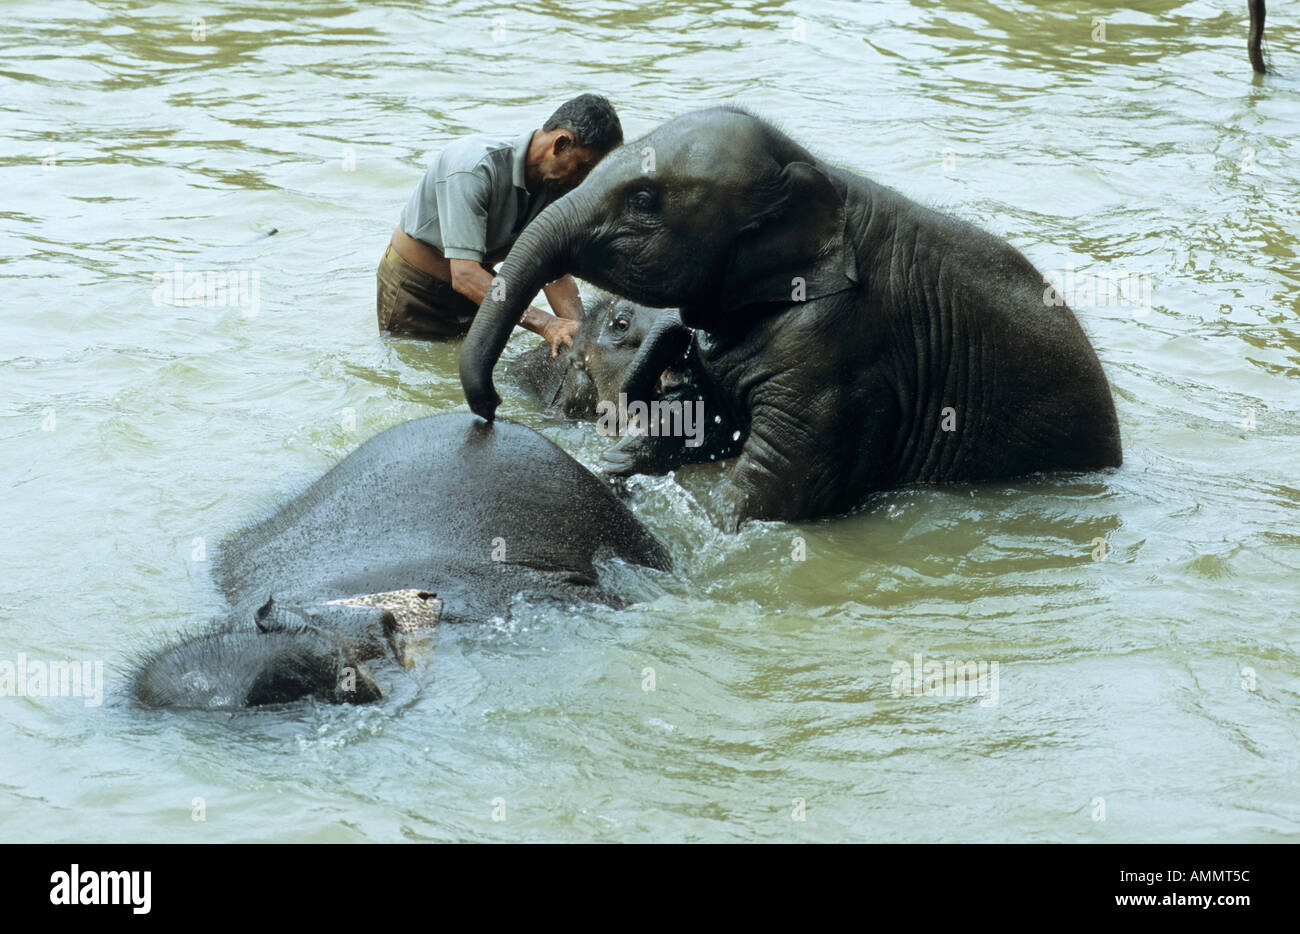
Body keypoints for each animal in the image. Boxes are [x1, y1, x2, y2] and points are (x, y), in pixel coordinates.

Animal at [458, 107, 1123, 530]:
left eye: (644, 201)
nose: (490, 409)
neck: (818, 174)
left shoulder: (845, 350)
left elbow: (780, 481)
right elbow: (707, 419)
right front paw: (620, 466)